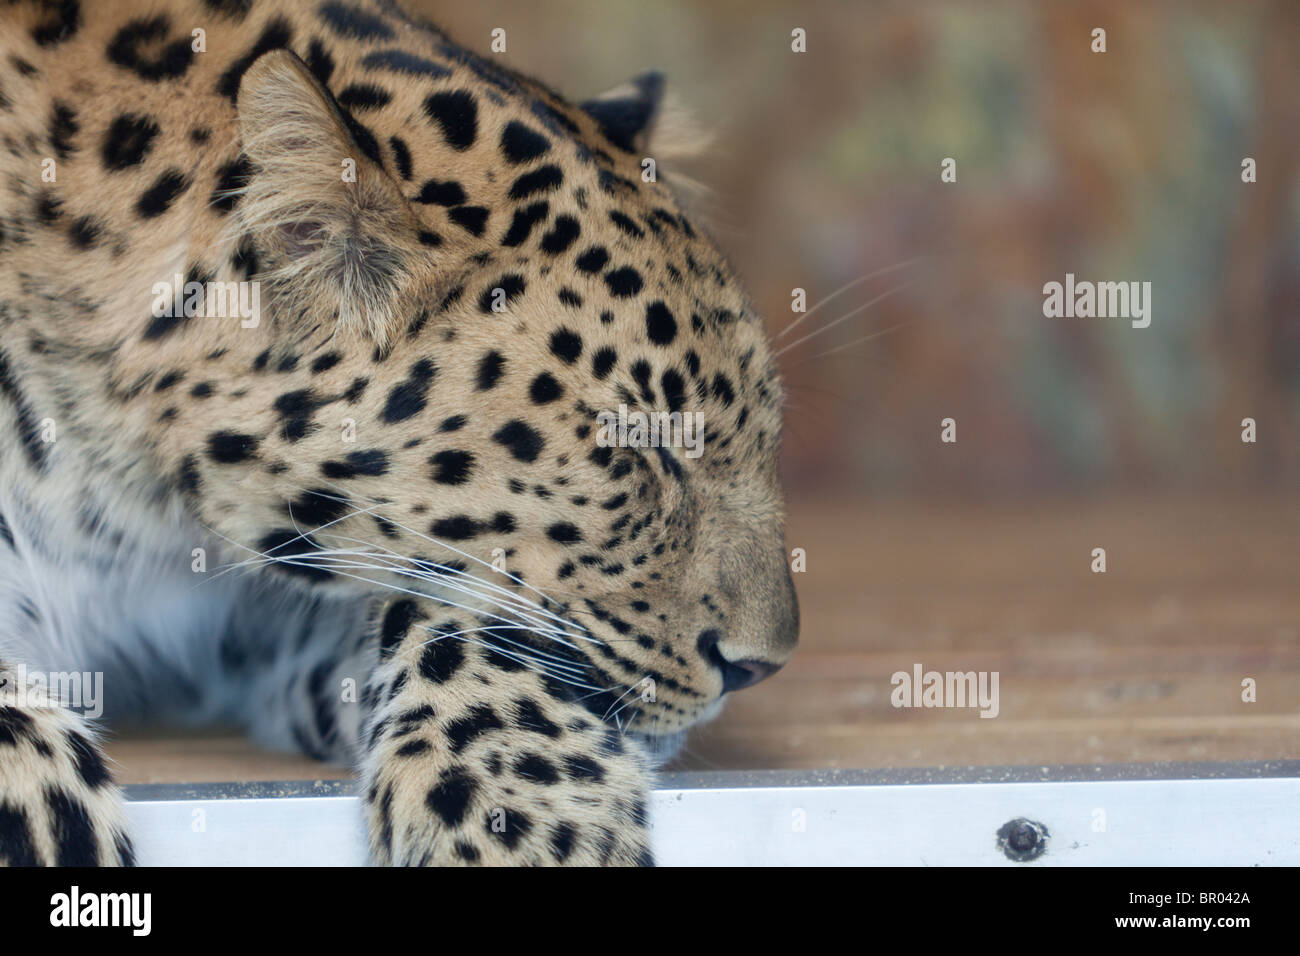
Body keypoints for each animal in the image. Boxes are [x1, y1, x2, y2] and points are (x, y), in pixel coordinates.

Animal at [0, 0, 798, 866]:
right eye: (632, 445)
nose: (761, 668)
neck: (133, 493)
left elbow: (449, 610)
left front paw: (528, 813)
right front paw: (49, 824)